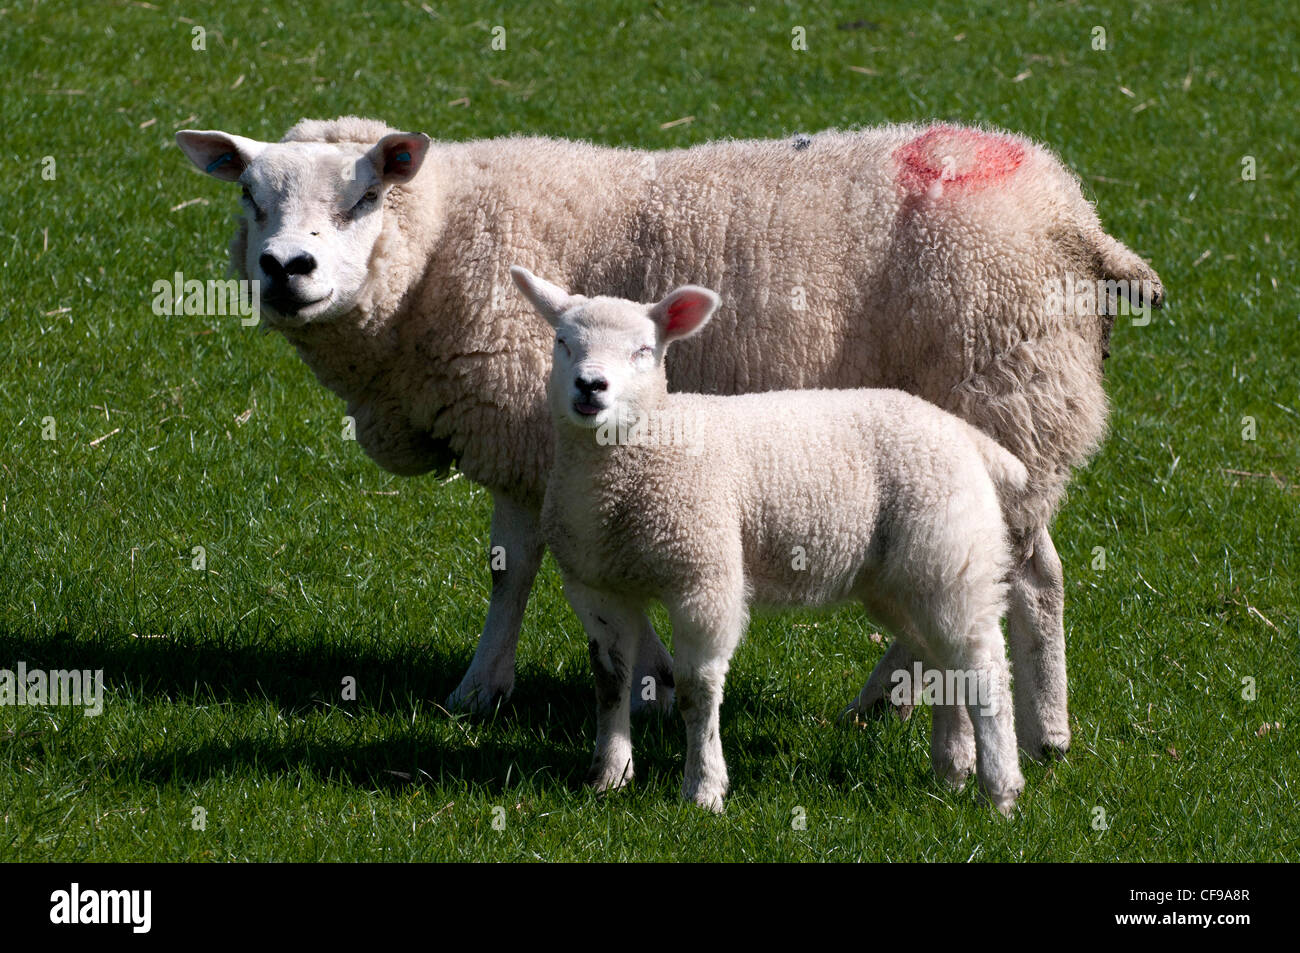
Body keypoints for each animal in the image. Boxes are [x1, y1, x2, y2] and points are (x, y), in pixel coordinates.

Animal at [175, 117, 1163, 757]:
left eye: (367, 195)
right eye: (250, 198)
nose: (286, 268)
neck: (444, 242)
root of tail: (1076, 219)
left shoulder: (533, 438)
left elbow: (524, 572)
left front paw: (494, 686)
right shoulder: (544, 451)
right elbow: (529, 568)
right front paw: (627, 680)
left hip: (1003, 399)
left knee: (1020, 579)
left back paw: (998, 722)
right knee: (1008, 576)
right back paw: (960, 715)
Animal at [512, 266, 1029, 813]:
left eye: (643, 351)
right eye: (563, 342)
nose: (590, 386)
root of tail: (967, 436)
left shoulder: (705, 577)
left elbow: (697, 690)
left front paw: (703, 788)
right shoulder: (595, 586)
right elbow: (610, 682)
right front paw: (609, 775)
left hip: (951, 556)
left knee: (983, 665)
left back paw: (1000, 790)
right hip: (902, 577)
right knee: (941, 658)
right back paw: (953, 766)